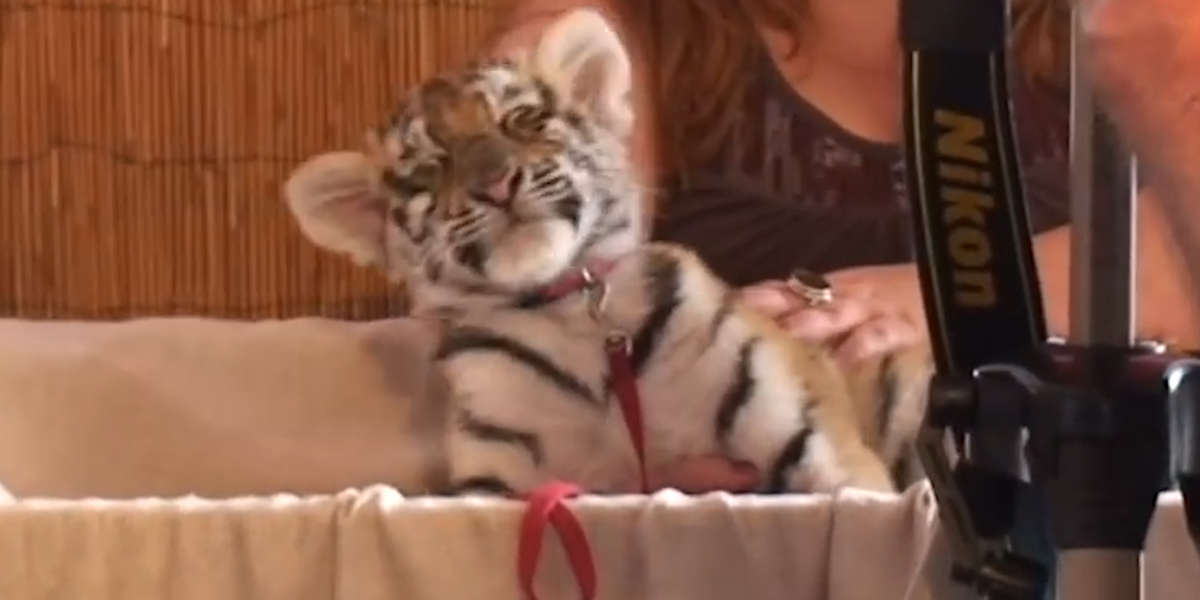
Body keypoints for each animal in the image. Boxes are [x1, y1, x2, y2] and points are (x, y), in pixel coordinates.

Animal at [282, 8, 932, 496]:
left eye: (523, 119)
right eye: (427, 170)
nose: (496, 183)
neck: (568, 316)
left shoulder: (822, 448)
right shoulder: (497, 480)